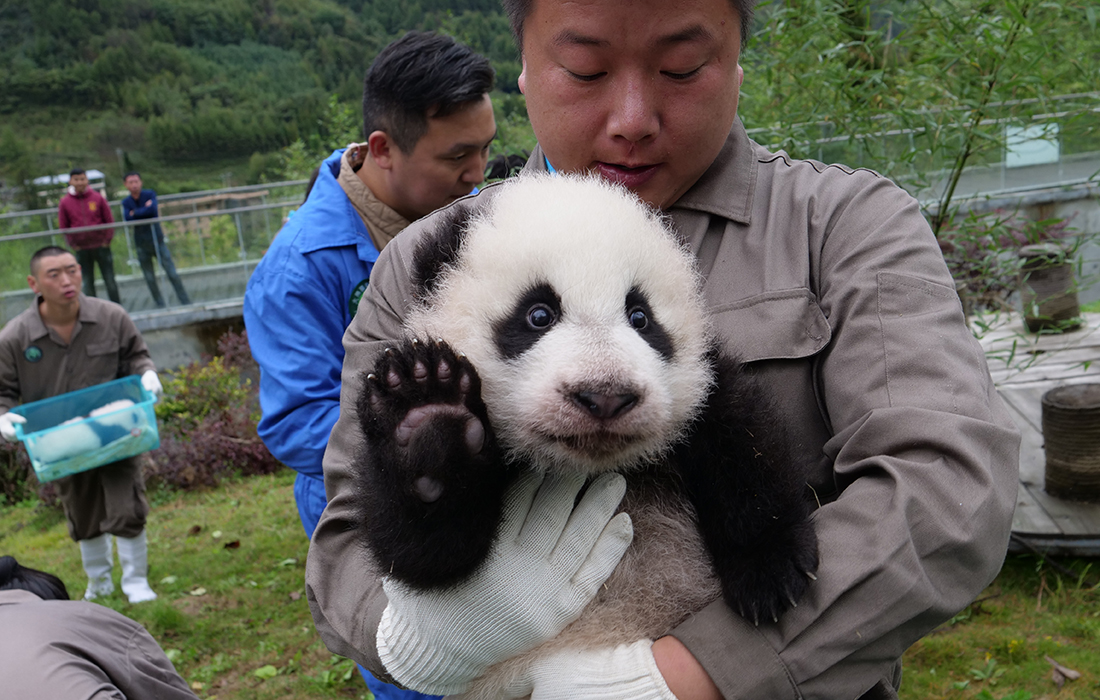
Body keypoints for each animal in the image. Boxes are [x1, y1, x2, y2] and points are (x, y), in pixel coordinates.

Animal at [354, 173, 819, 699]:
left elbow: (742, 442)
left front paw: (769, 571)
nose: (606, 396)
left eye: (640, 317)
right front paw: (428, 414)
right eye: (538, 314)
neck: (591, 465)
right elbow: (429, 554)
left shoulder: (701, 393)